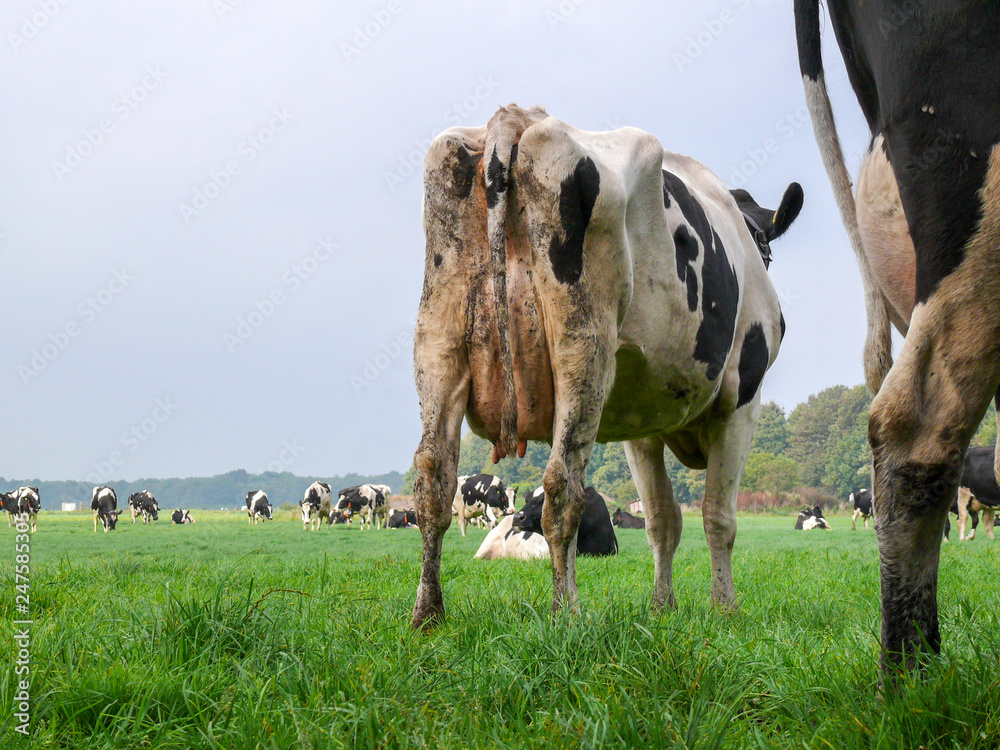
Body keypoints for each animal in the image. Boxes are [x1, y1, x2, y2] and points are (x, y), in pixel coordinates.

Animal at [409, 104, 801, 628]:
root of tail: (516, 119)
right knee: (561, 487)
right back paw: (566, 611)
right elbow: (718, 516)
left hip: (438, 340)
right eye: (769, 254)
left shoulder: (642, 423)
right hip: (583, 347)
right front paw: (725, 608)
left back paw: (427, 613)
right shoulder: (741, 402)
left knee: (434, 480)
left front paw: (662, 606)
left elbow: (662, 519)